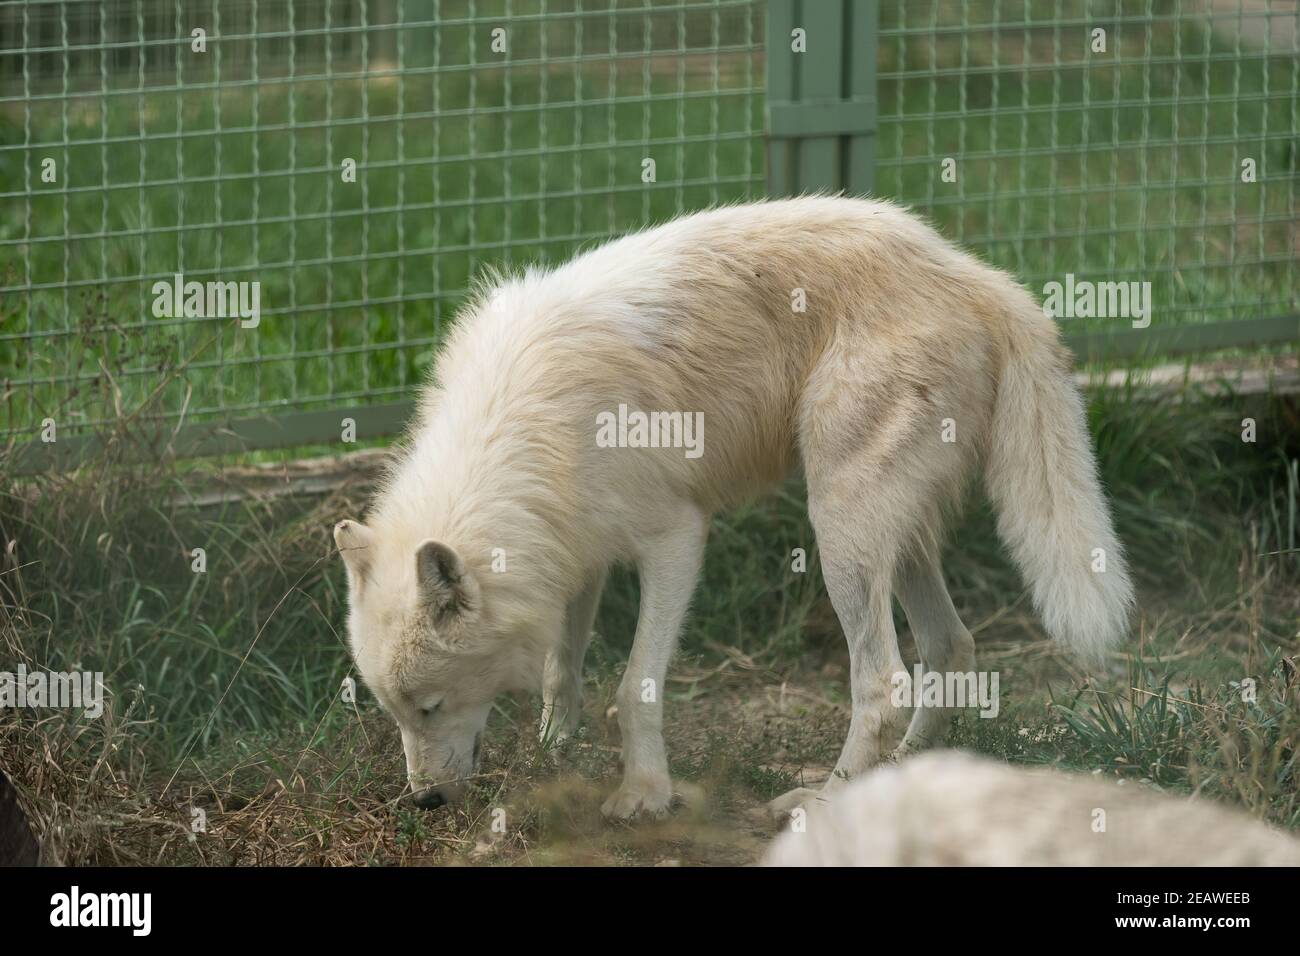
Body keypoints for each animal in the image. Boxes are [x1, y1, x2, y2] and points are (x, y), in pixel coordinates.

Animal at [333, 196, 1133, 818]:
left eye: (431, 706)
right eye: (396, 712)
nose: (424, 801)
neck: (520, 433)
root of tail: (979, 277)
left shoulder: (676, 538)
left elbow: (635, 686)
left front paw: (642, 796)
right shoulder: (571, 553)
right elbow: (564, 670)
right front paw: (554, 757)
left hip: (839, 528)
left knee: (884, 681)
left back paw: (828, 799)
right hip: (889, 537)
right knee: (951, 647)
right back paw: (905, 779)